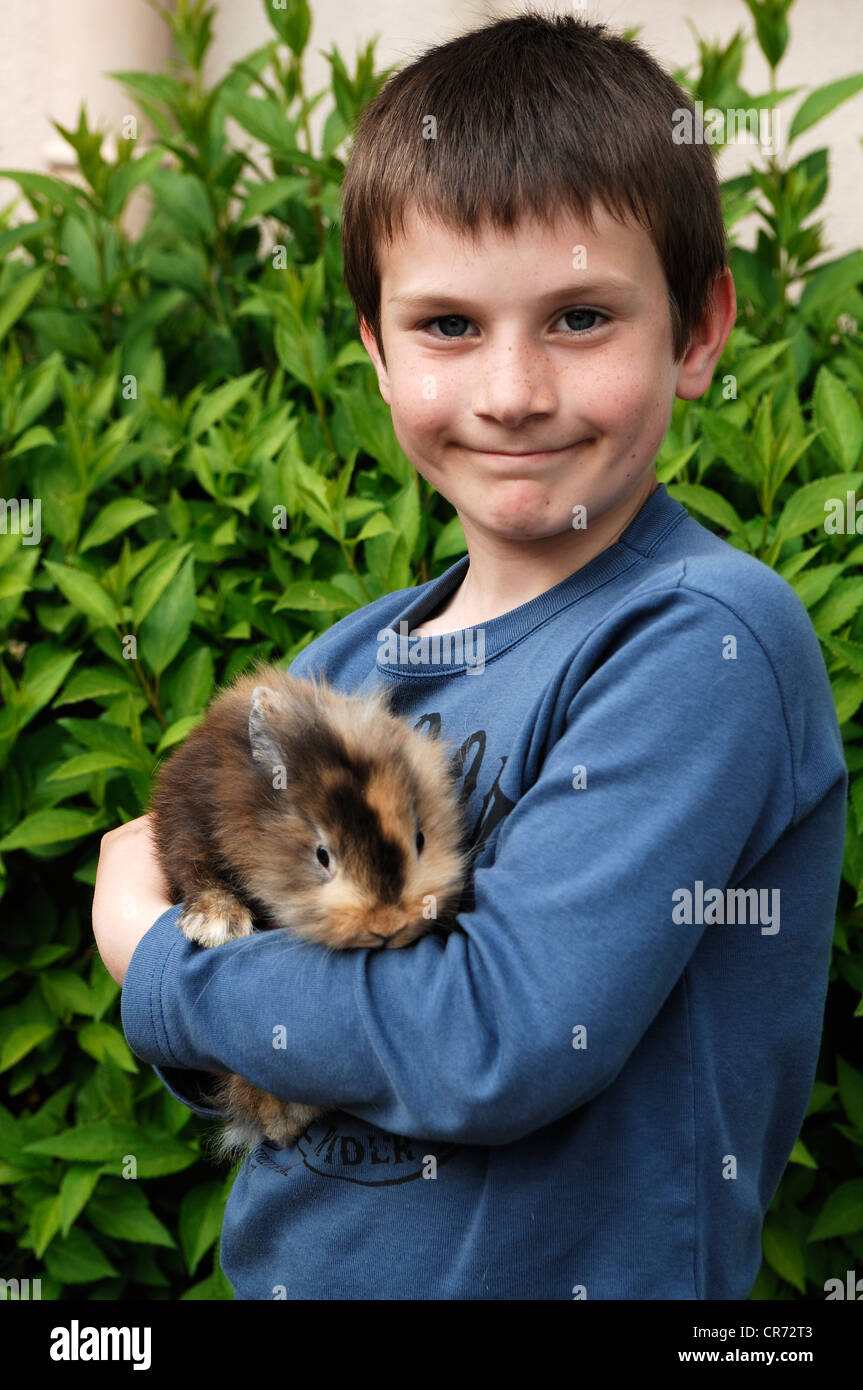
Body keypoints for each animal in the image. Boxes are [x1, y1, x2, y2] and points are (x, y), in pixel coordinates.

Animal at [148, 661, 469, 1161]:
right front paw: (218, 925)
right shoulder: (185, 819)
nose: (387, 926)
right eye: (322, 855)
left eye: (421, 840)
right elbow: (196, 870)